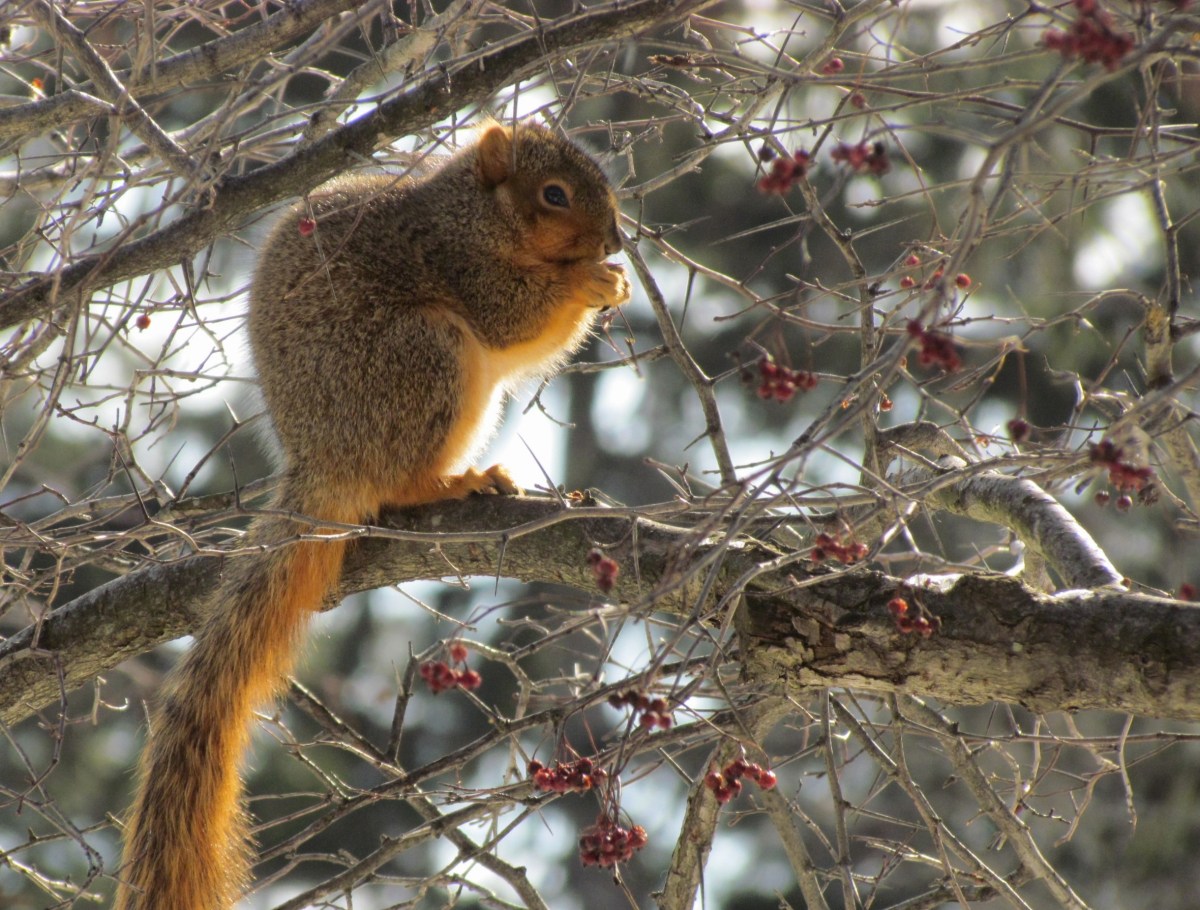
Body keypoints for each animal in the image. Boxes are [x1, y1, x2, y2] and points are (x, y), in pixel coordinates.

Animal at [115, 121, 630, 910]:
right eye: (553, 194)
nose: (616, 239)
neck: (477, 214)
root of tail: (325, 462)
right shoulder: (458, 261)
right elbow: (511, 317)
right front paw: (588, 283)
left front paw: (613, 281)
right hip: (421, 359)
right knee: (400, 480)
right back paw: (457, 481)